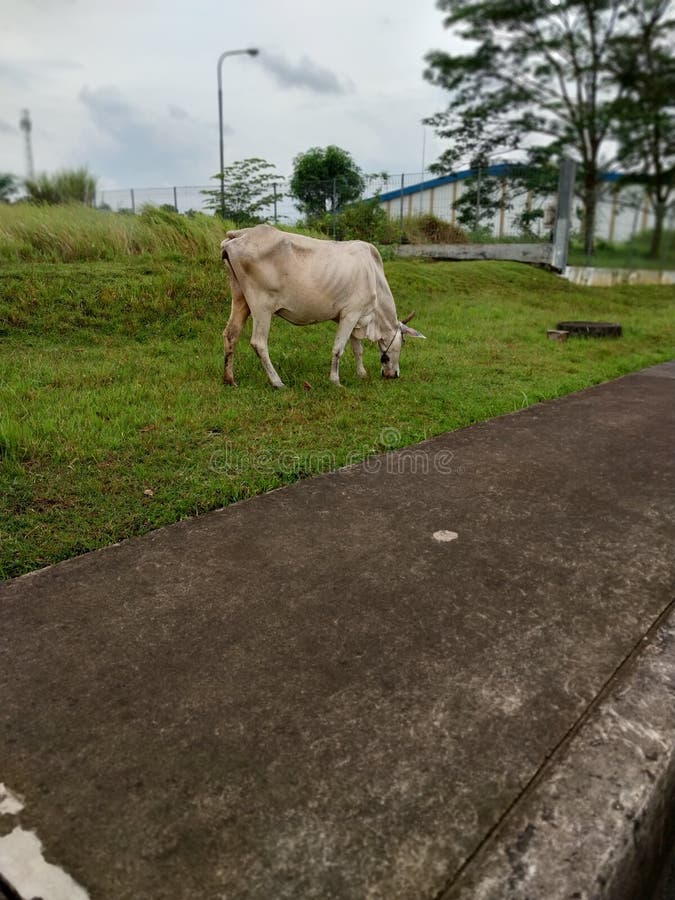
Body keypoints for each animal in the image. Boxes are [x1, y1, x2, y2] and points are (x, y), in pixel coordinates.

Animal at [220, 224, 425, 388]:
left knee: (231, 334)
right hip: (262, 307)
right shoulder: (351, 313)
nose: (394, 375)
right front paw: (335, 381)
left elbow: (357, 349)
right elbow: (338, 349)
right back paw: (277, 382)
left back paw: (229, 379)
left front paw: (362, 373)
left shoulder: (354, 318)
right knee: (259, 343)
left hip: (240, 299)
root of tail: (240, 234)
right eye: (404, 342)